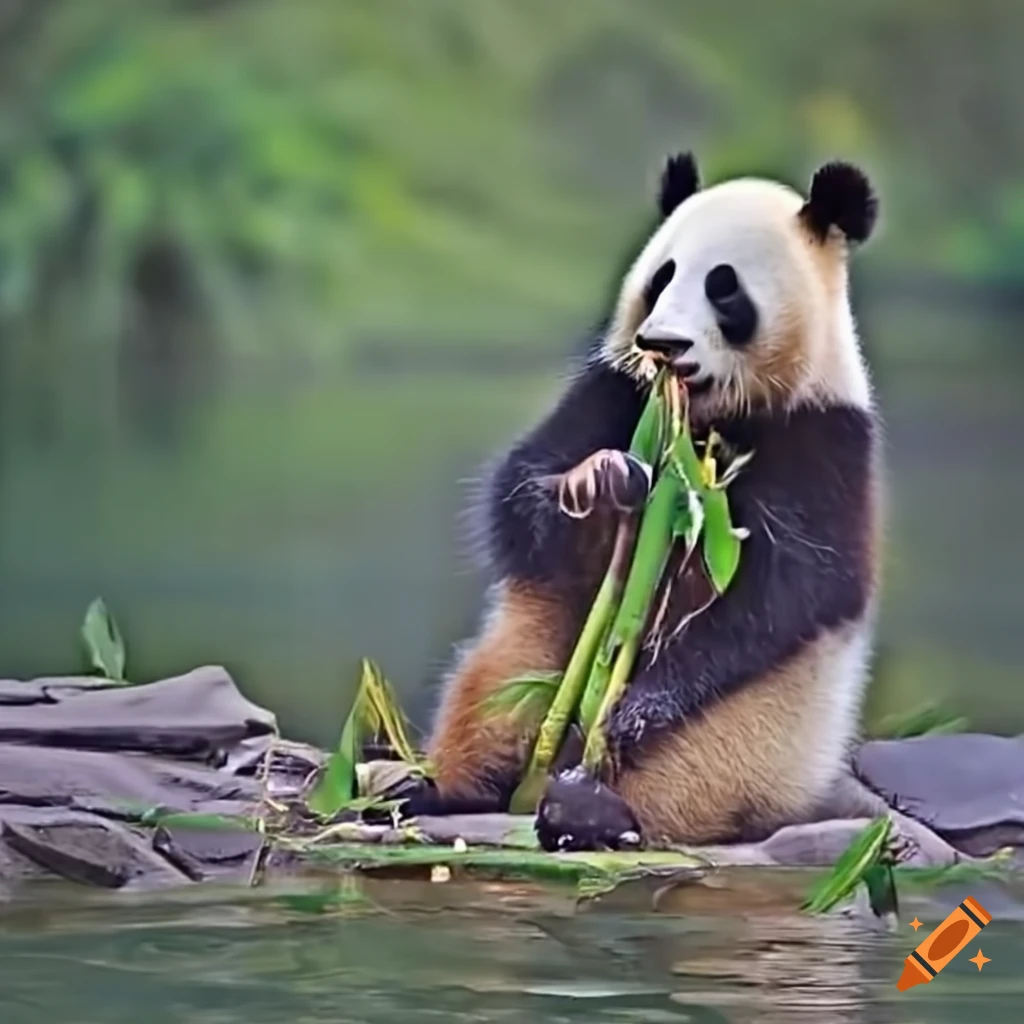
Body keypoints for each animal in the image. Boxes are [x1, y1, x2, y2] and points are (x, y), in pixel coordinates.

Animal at [407, 152, 887, 852]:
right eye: (662, 277)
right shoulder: (614, 386)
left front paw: (635, 709)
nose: (663, 343)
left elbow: (793, 588)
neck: (707, 421)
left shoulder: (826, 441)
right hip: (519, 663)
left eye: (724, 289)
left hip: (734, 754)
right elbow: (519, 495)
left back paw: (587, 809)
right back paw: (447, 788)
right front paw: (599, 484)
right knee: (501, 692)